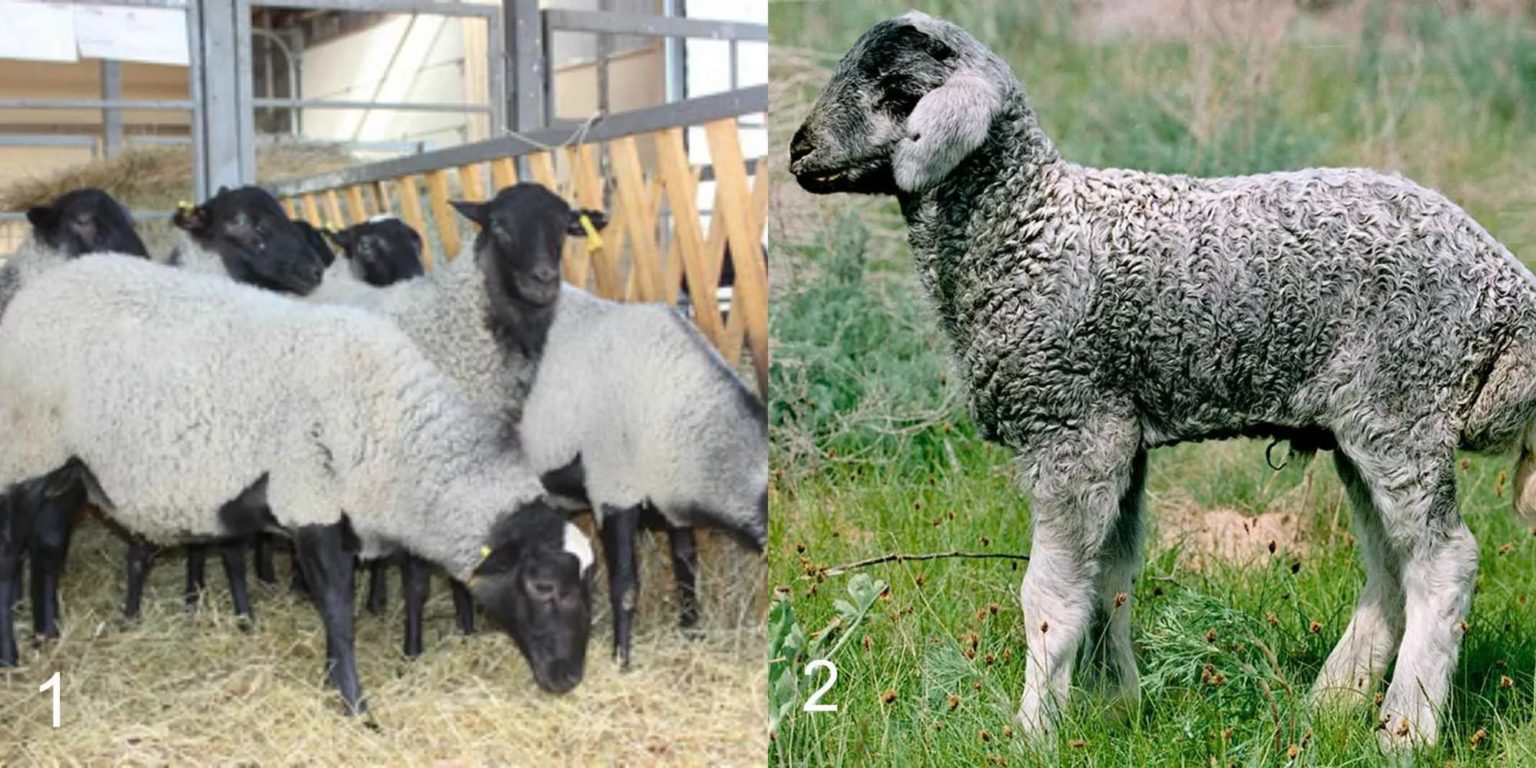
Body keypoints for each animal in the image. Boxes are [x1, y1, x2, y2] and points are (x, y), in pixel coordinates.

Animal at [0, 254, 595, 712]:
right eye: (543, 586)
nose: (569, 678)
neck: (389, 429)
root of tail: (39, 289)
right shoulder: (310, 504)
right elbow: (337, 609)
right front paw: (353, 704)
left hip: (66, 469)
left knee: (49, 548)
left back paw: (49, 634)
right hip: (26, 452)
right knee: (14, 552)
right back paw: (11, 656)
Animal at [226, 185, 767, 668]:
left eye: (563, 227)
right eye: (501, 226)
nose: (544, 278)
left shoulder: (670, 496)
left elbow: (686, 565)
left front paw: (692, 631)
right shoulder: (614, 487)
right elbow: (626, 586)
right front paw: (622, 661)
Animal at [789, 11, 1536, 749]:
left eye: (897, 92)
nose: (799, 149)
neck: (1025, 228)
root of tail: (1505, 284)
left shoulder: (1072, 428)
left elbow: (1050, 597)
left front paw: (1034, 733)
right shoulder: (1118, 436)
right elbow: (1108, 578)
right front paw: (1112, 708)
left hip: (1404, 407)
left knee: (1444, 563)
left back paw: (1404, 729)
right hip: (1362, 424)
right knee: (1390, 565)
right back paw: (1333, 704)